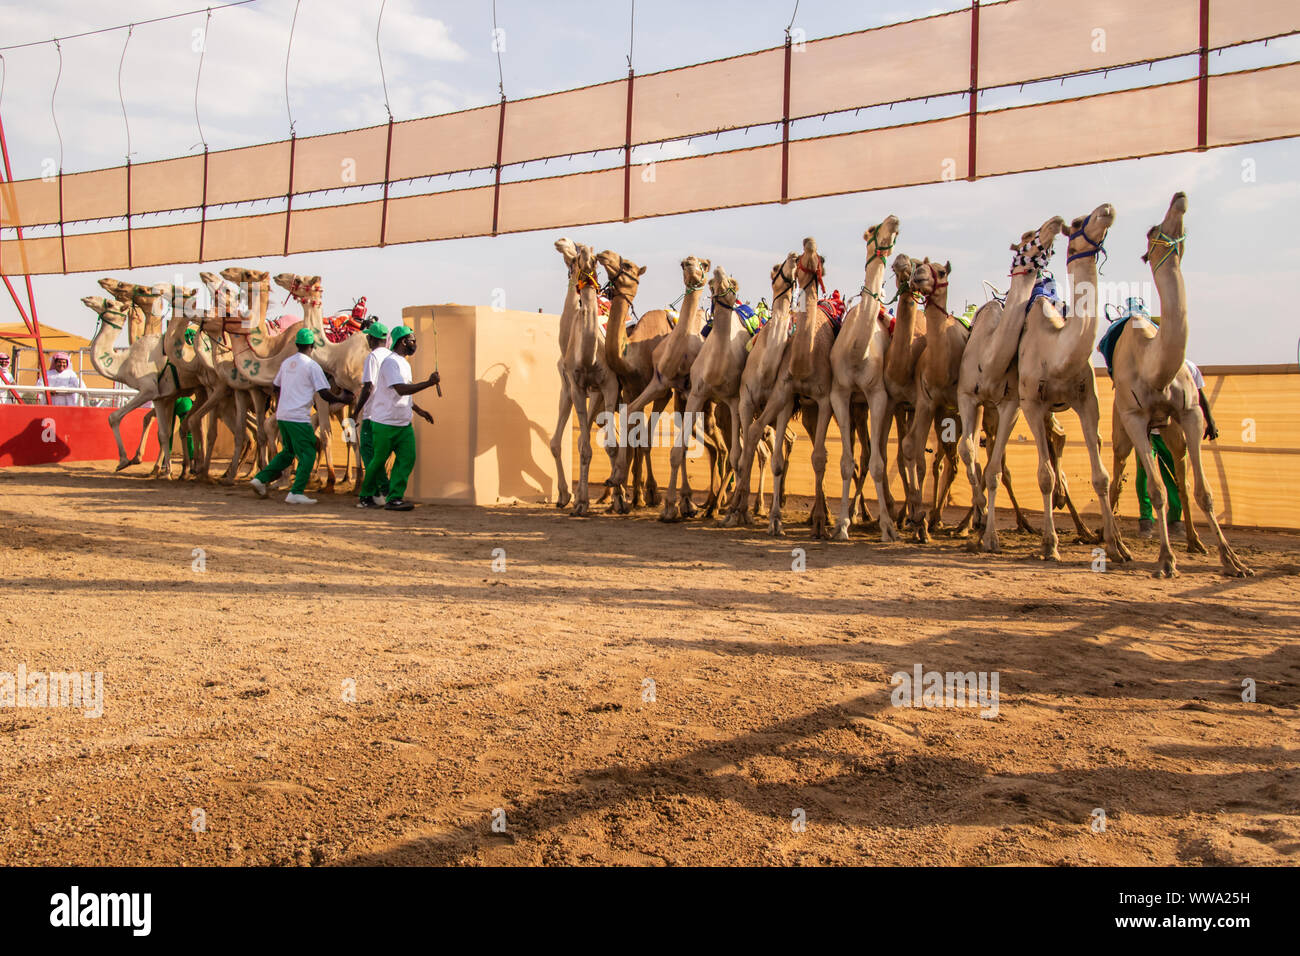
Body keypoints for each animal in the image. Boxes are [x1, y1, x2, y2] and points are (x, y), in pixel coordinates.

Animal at [1014, 201, 1130, 566]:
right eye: (1079, 222)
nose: (1107, 208)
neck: (1058, 351)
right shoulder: (1031, 403)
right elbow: (1043, 475)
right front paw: (1049, 544)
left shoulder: (1087, 401)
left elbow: (1101, 475)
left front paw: (1116, 545)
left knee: (1059, 440)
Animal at [1108, 192, 1251, 577]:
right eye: (1151, 230)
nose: (1180, 197)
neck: (1155, 366)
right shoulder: (1134, 418)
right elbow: (1157, 490)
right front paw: (1165, 560)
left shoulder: (1190, 414)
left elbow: (1204, 491)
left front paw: (1232, 560)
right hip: (1120, 425)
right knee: (1117, 474)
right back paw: (1114, 545)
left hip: (1171, 431)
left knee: (1182, 477)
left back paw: (1195, 542)